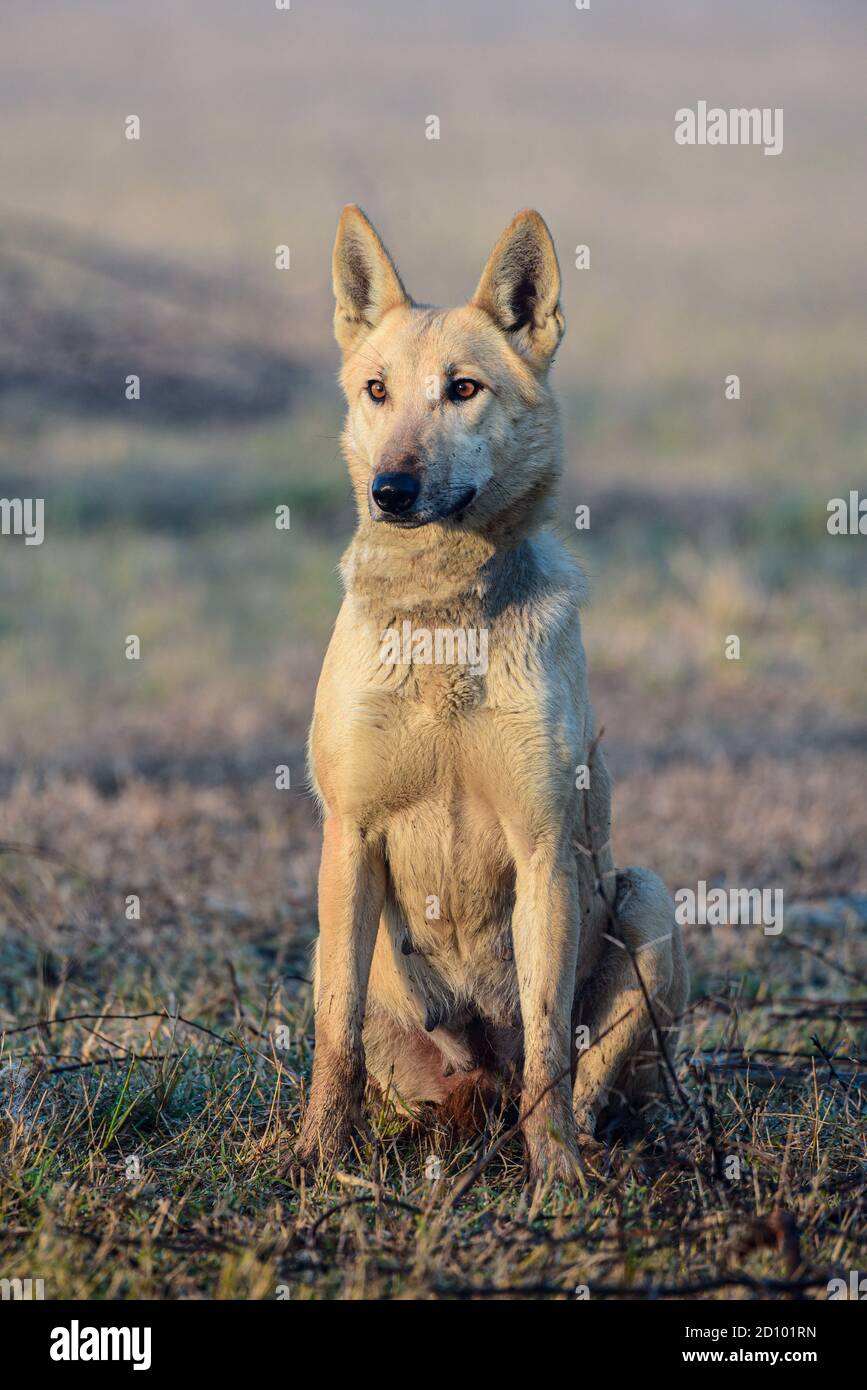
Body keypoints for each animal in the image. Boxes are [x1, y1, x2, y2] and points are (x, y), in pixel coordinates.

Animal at [295, 205, 688, 1185]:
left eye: (464, 389)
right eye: (376, 391)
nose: (390, 490)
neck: (443, 622)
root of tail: (480, 1085)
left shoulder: (543, 849)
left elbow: (551, 1041)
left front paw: (560, 1183)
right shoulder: (349, 839)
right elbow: (335, 1036)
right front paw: (312, 1157)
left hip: (648, 898)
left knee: (579, 1084)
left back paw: (583, 1147)